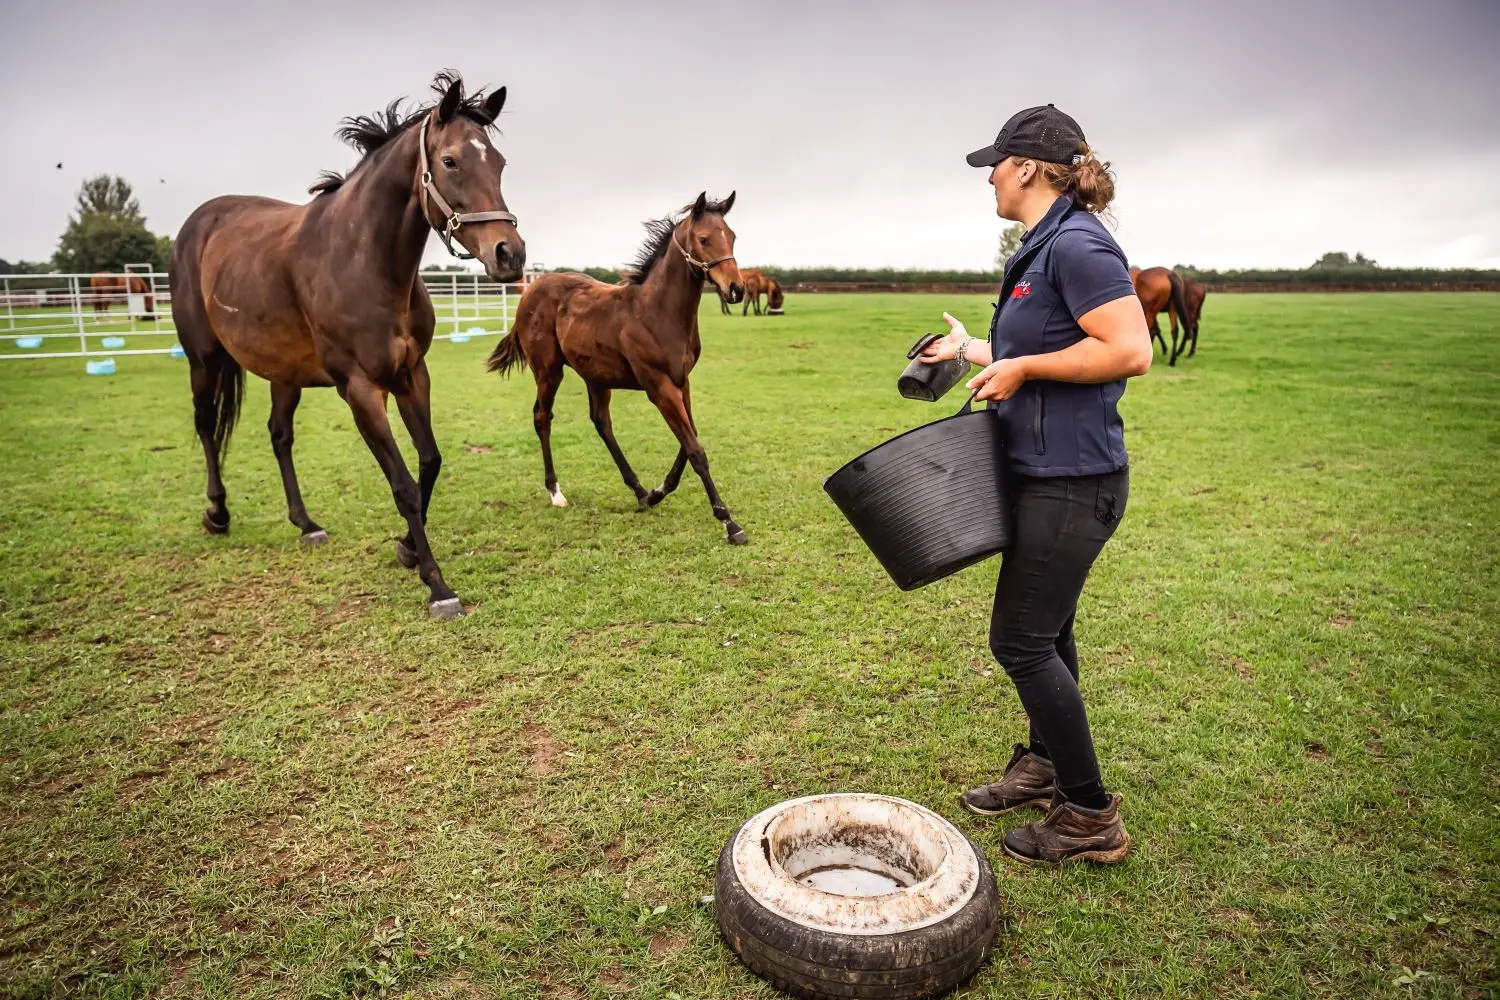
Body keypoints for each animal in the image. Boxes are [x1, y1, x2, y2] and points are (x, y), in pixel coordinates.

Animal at [169, 71, 525, 618]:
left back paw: (306, 524)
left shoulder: (412, 376)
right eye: (450, 161)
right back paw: (218, 513)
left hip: (283, 373)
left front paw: (406, 547)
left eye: (500, 163)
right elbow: (402, 484)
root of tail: (198, 224)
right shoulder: (360, 390)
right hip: (203, 360)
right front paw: (437, 585)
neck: (363, 261)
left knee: (279, 436)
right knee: (208, 426)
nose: (510, 254)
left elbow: (429, 462)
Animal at [486, 192, 749, 545]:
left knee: (601, 422)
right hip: (548, 371)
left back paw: (640, 492)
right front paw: (729, 522)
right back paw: (556, 492)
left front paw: (659, 491)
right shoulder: (658, 386)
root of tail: (531, 290)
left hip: (596, 376)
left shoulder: (682, 381)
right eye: (704, 239)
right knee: (542, 418)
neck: (658, 311)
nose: (736, 289)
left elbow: (689, 439)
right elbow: (695, 449)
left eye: (731, 236)